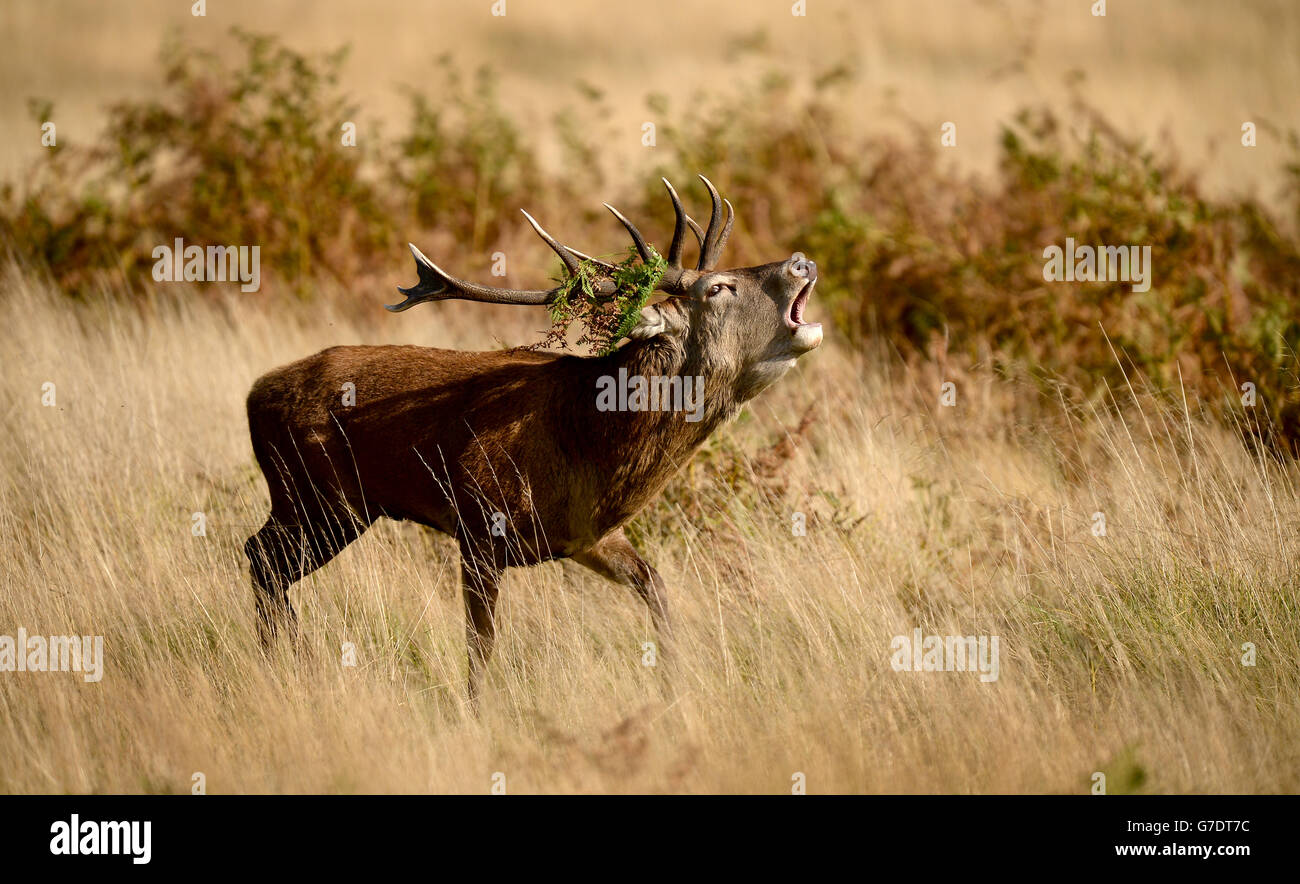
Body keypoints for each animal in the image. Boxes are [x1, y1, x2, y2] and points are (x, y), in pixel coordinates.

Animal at [243, 176, 822, 701]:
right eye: (717, 288)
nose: (801, 262)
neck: (588, 447)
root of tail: (254, 394)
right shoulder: (477, 526)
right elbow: (481, 646)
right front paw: (476, 712)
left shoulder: (587, 536)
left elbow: (656, 587)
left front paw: (674, 685)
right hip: (319, 498)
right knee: (260, 558)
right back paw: (291, 662)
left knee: (262, 559)